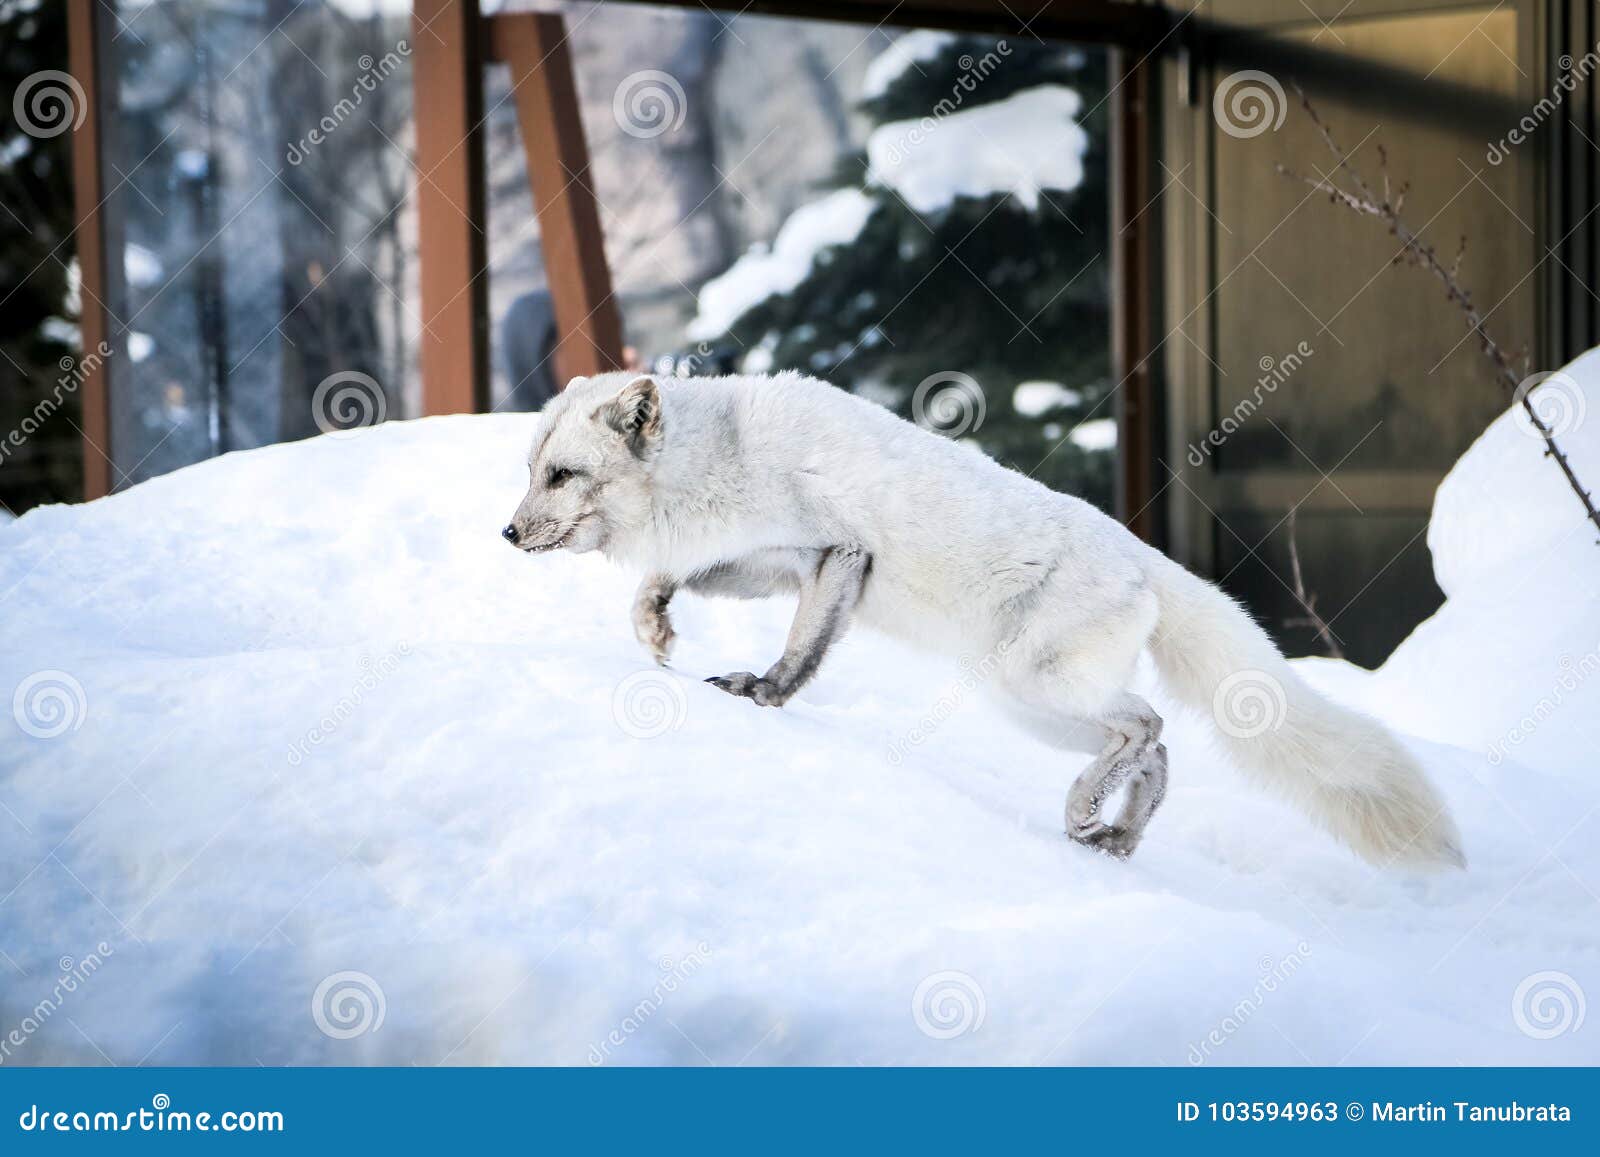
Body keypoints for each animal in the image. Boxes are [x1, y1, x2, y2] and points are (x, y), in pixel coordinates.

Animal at [503, 370, 1464, 869]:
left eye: (561, 475)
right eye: (532, 470)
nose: (507, 533)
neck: (727, 451)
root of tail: (1143, 556)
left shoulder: (837, 557)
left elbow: (796, 659)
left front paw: (758, 695)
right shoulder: (787, 560)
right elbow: (671, 580)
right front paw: (655, 626)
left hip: (1035, 686)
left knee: (1148, 726)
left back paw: (1087, 812)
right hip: (1034, 711)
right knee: (1158, 749)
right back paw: (1117, 832)